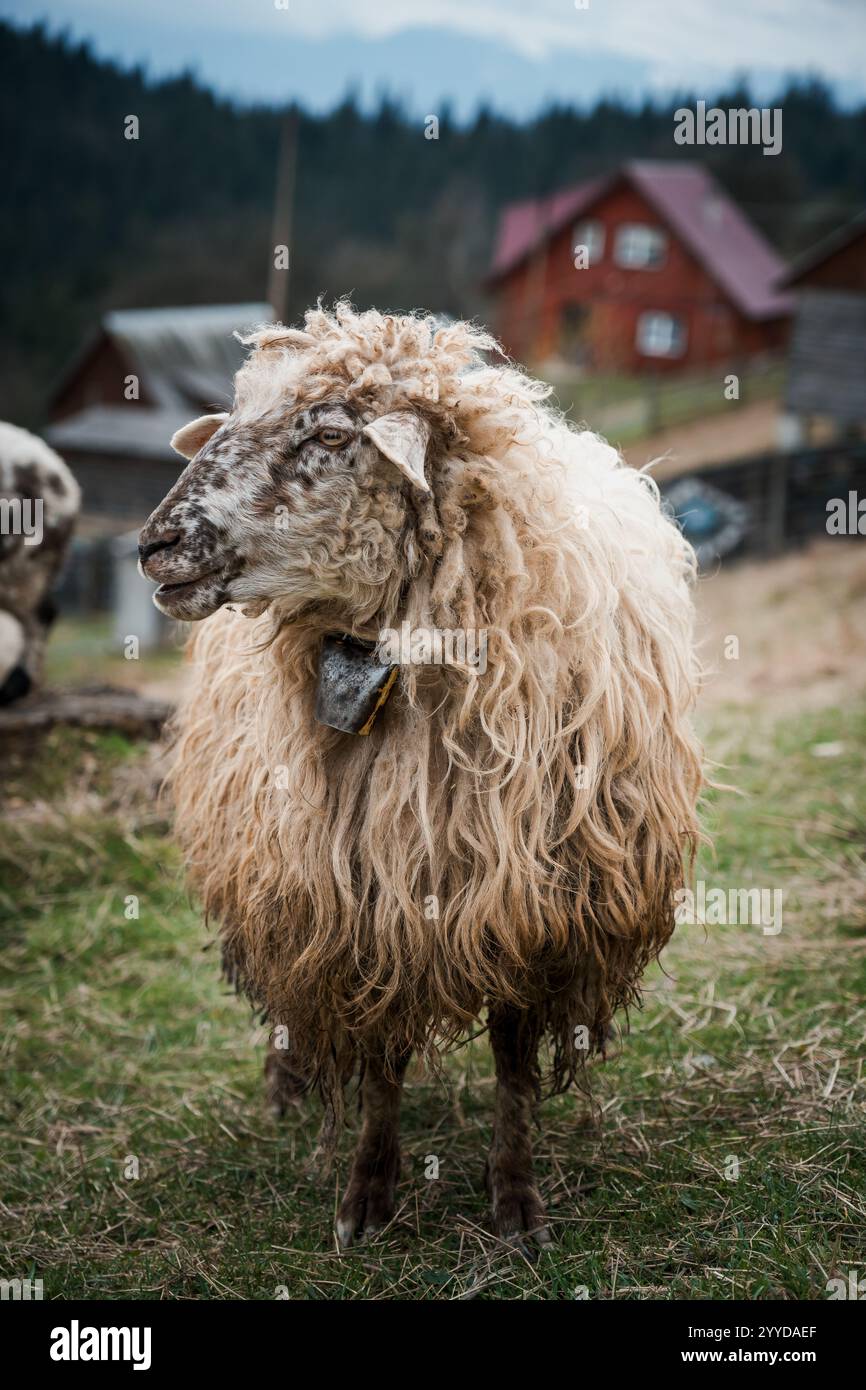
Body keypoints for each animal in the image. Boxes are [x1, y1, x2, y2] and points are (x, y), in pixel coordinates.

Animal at [138, 302, 703, 1248]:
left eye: (331, 433)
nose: (156, 546)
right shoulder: (361, 898)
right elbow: (381, 1065)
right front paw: (367, 1194)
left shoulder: (534, 904)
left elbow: (512, 1061)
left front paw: (516, 1202)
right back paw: (289, 1083)